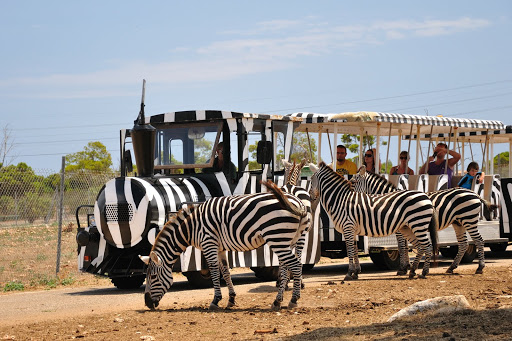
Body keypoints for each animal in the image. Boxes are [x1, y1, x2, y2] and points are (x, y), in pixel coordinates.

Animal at [138, 181, 310, 310]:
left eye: (153, 277)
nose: (147, 303)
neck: (192, 227)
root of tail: (298, 203)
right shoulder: (220, 248)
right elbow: (226, 272)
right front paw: (231, 300)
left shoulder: (209, 243)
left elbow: (214, 271)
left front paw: (215, 301)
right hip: (287, 239)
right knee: (286, 268)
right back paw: (277, 301)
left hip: (277, 237)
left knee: (295, 265)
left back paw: (293, 300)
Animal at [306, 162, 438, 278]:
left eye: (311, 179)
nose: (310, 198)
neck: (341, 200)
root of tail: (426, 196)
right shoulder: (352, 230)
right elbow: (354, 250)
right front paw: (356, 272)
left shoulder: (348, 227)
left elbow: (350, 250)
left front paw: (349, 273)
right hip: (408, 227)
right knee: (421, 246)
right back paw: (413, 271)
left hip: (418, 225)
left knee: (428, 246)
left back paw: (424, 272)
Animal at [350, 166, 498, 274]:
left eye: (353, 182)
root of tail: (475, 194)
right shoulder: (403, 227)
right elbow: (404, 246)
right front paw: (407, 266)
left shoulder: (399, 228)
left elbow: (401, 246)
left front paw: (403, 268)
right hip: (458, 223)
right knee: (463, 244)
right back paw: (451, 268)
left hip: (469, 220)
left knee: (479, 240)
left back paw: (480, 268)